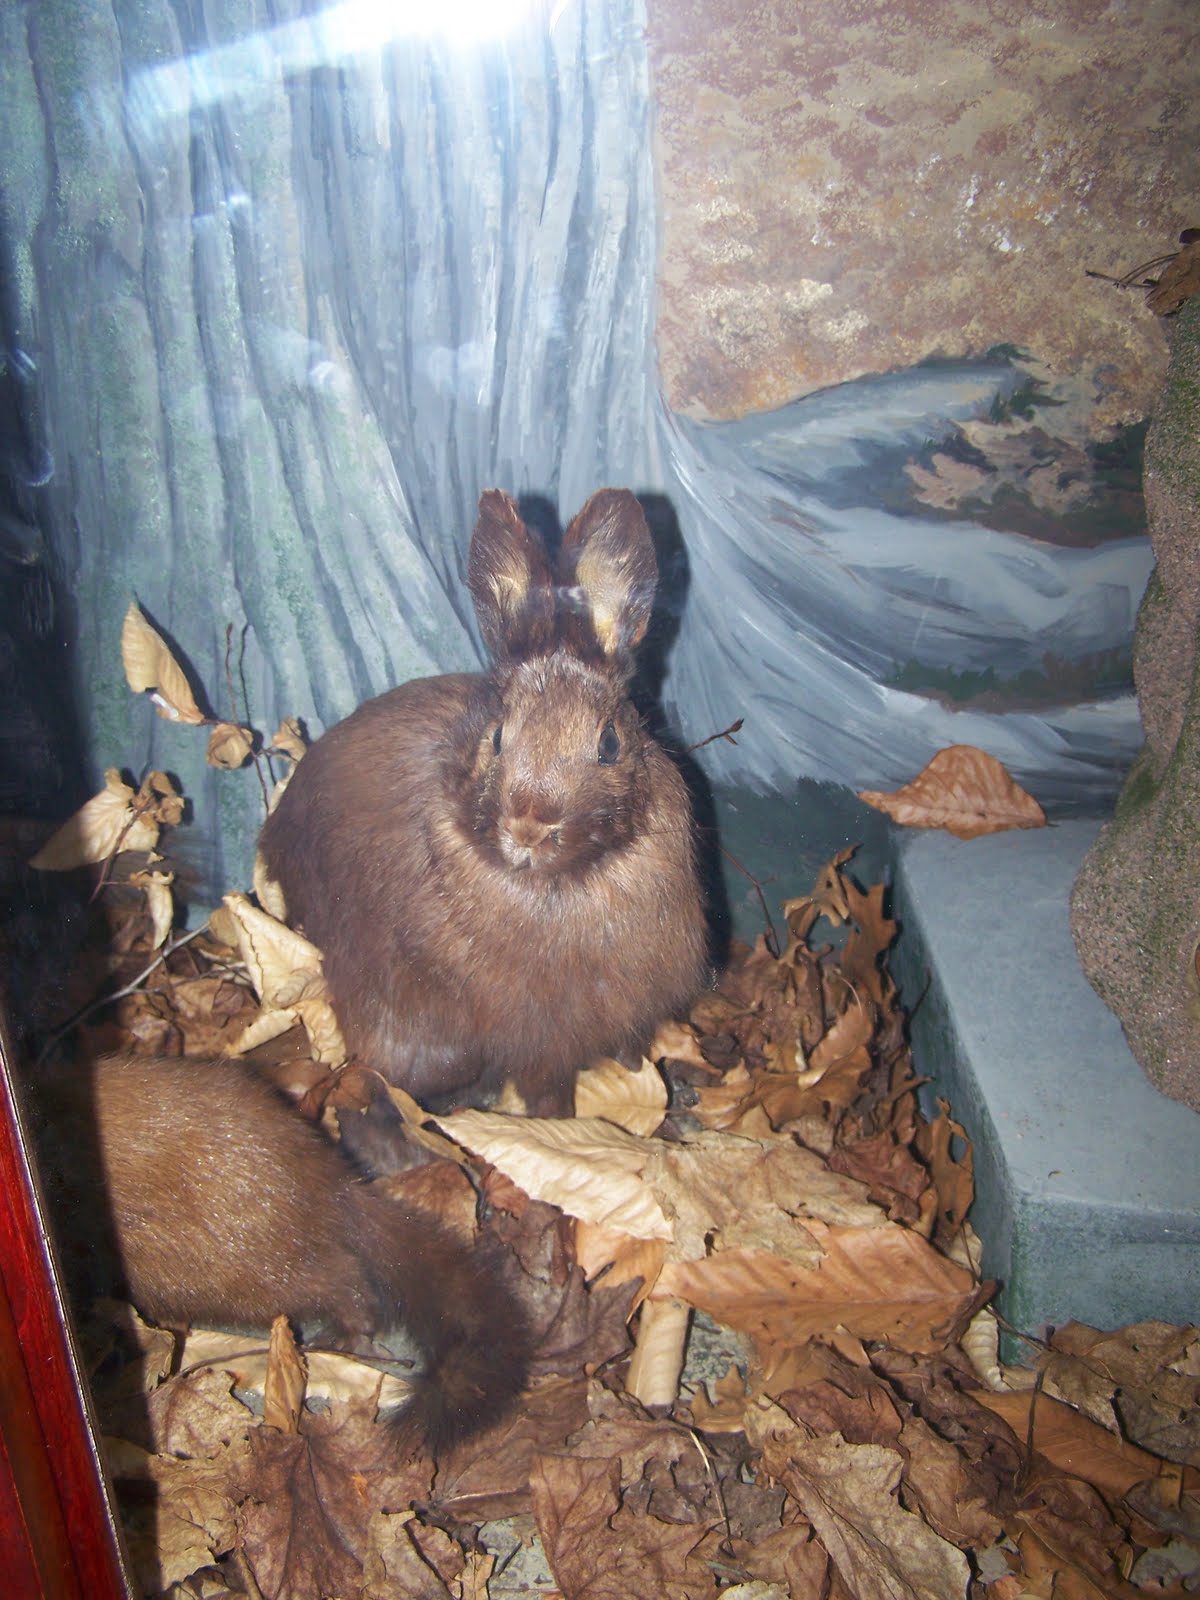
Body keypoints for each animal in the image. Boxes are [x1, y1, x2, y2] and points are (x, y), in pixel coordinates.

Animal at [257, 488, 708, 1119]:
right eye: (496, 736)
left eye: (610, 742)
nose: (528, 826)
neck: (554, 889)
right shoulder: (539, 1048)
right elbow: (547, 1096)